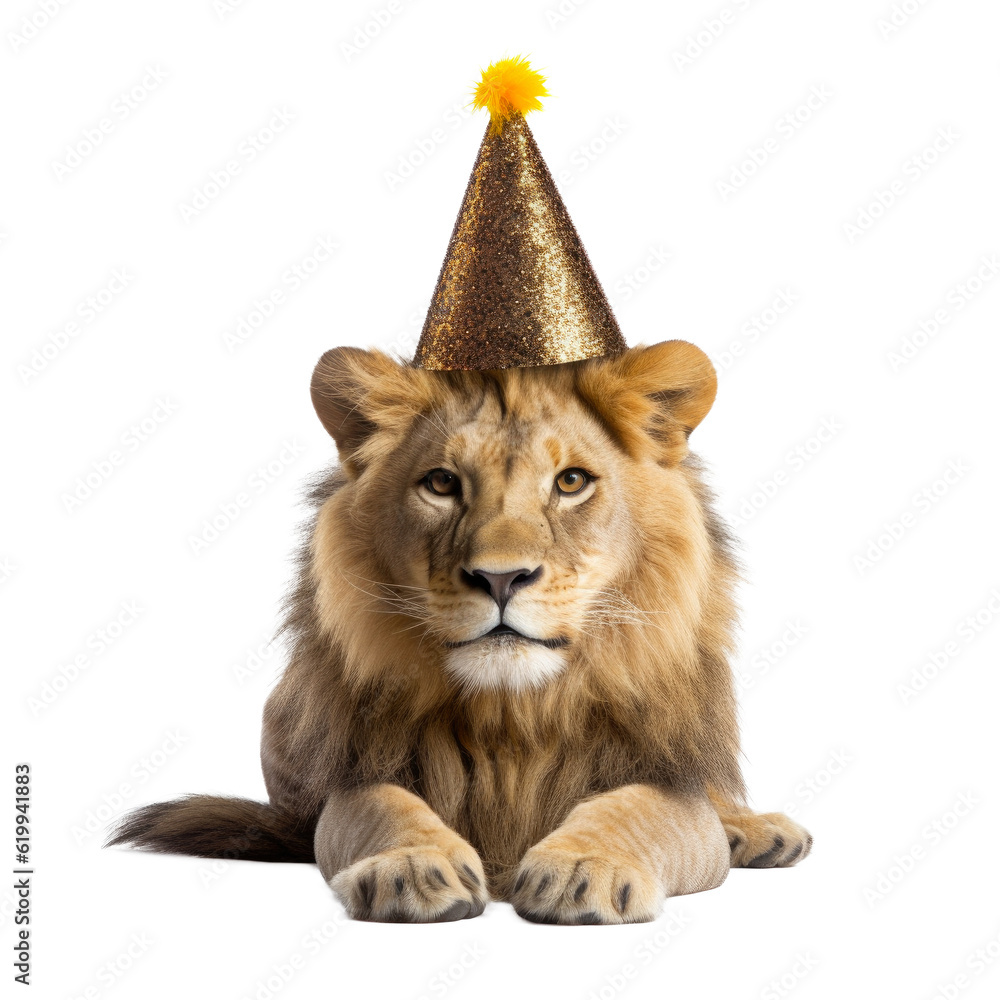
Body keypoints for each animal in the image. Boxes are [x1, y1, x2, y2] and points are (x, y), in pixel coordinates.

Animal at [108, 339, 812, 924]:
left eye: (571, 482)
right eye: (442, 483)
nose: (501, 578)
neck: (513, 717)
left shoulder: (672, 786)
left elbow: (635, 809)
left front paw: (582, 868)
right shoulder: (356, 777)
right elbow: (383, 809)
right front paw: (415, 868)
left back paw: (760, 832)